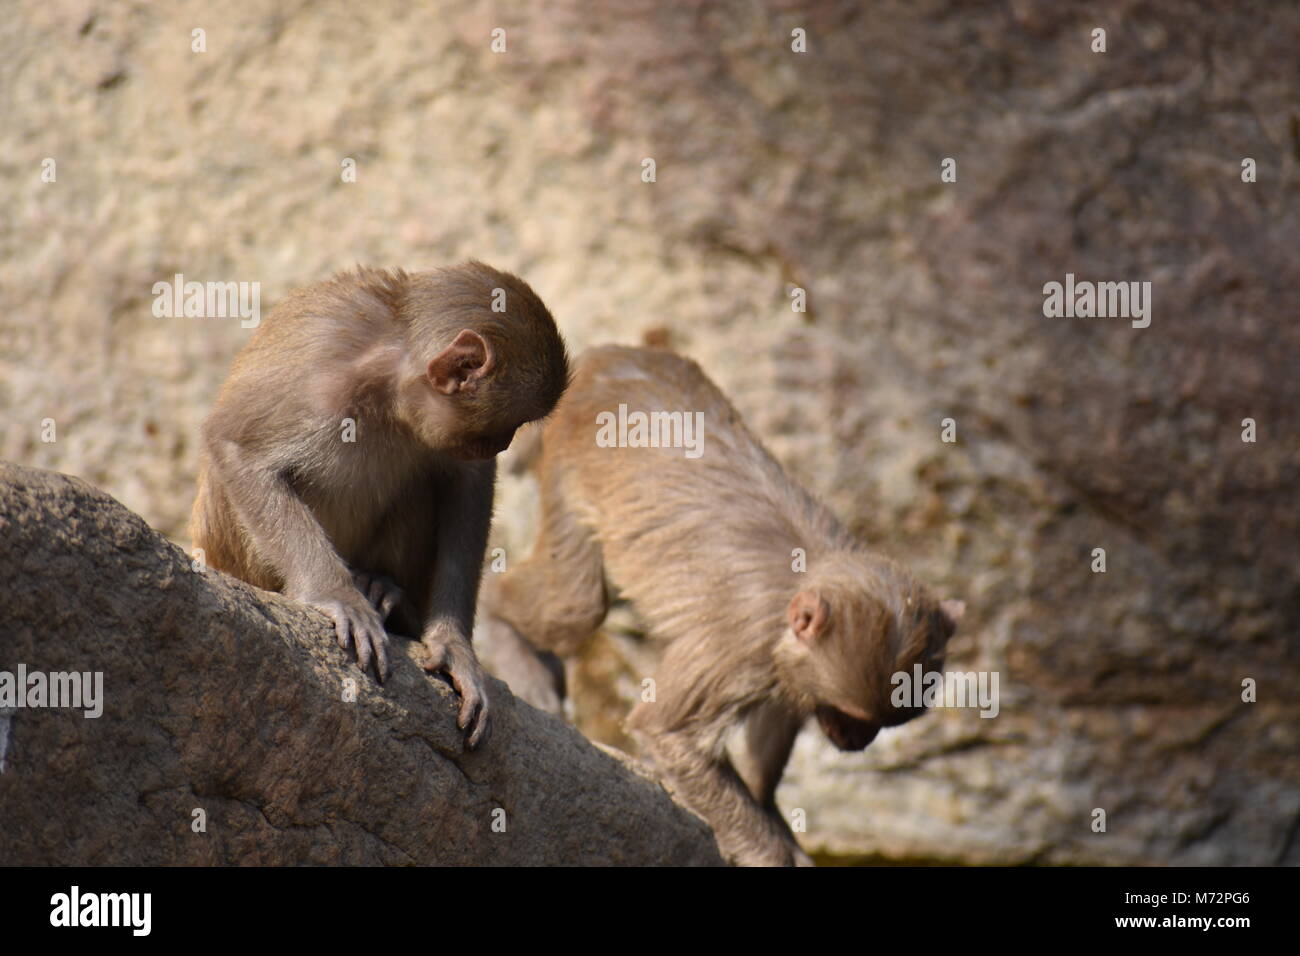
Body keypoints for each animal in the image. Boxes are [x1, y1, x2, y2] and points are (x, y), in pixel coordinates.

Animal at [190, 262, 570, 749]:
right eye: (508, 425)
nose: (503, 444)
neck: (391, 376)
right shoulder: (320, 382)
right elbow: (236, 447)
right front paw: (334, 593)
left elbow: (468, 485)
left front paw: (454, 647)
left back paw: (384, 587)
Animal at [478, 345, 963, 863]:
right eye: (852, 716)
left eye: (871, 725)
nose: (856, 740)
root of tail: (605, 357)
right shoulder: (738, 646)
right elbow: (667, 733)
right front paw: (770, 849)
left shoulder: (784, 664)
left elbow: (771, 722)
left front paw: (770, 815)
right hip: (570, 469)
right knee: (576, 605)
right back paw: (501, 624)